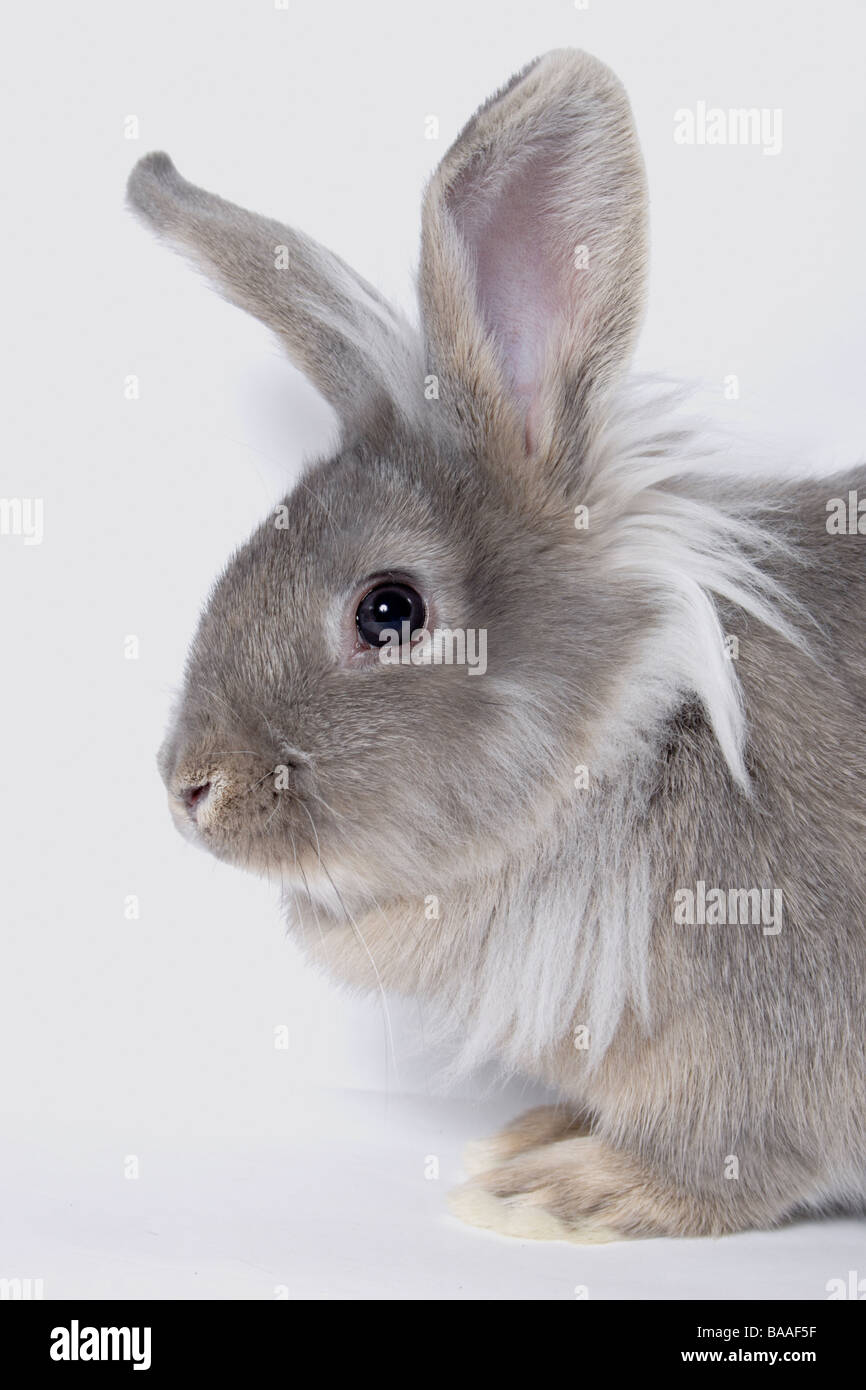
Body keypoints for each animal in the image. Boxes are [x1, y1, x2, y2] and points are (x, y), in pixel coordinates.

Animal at [128, 49, 866, 1243]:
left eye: (388, 611)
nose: (190, 788)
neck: (624, 762)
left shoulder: (769, 1028)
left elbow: (722, 1160)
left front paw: (559, 1191)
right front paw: (537, 1136)